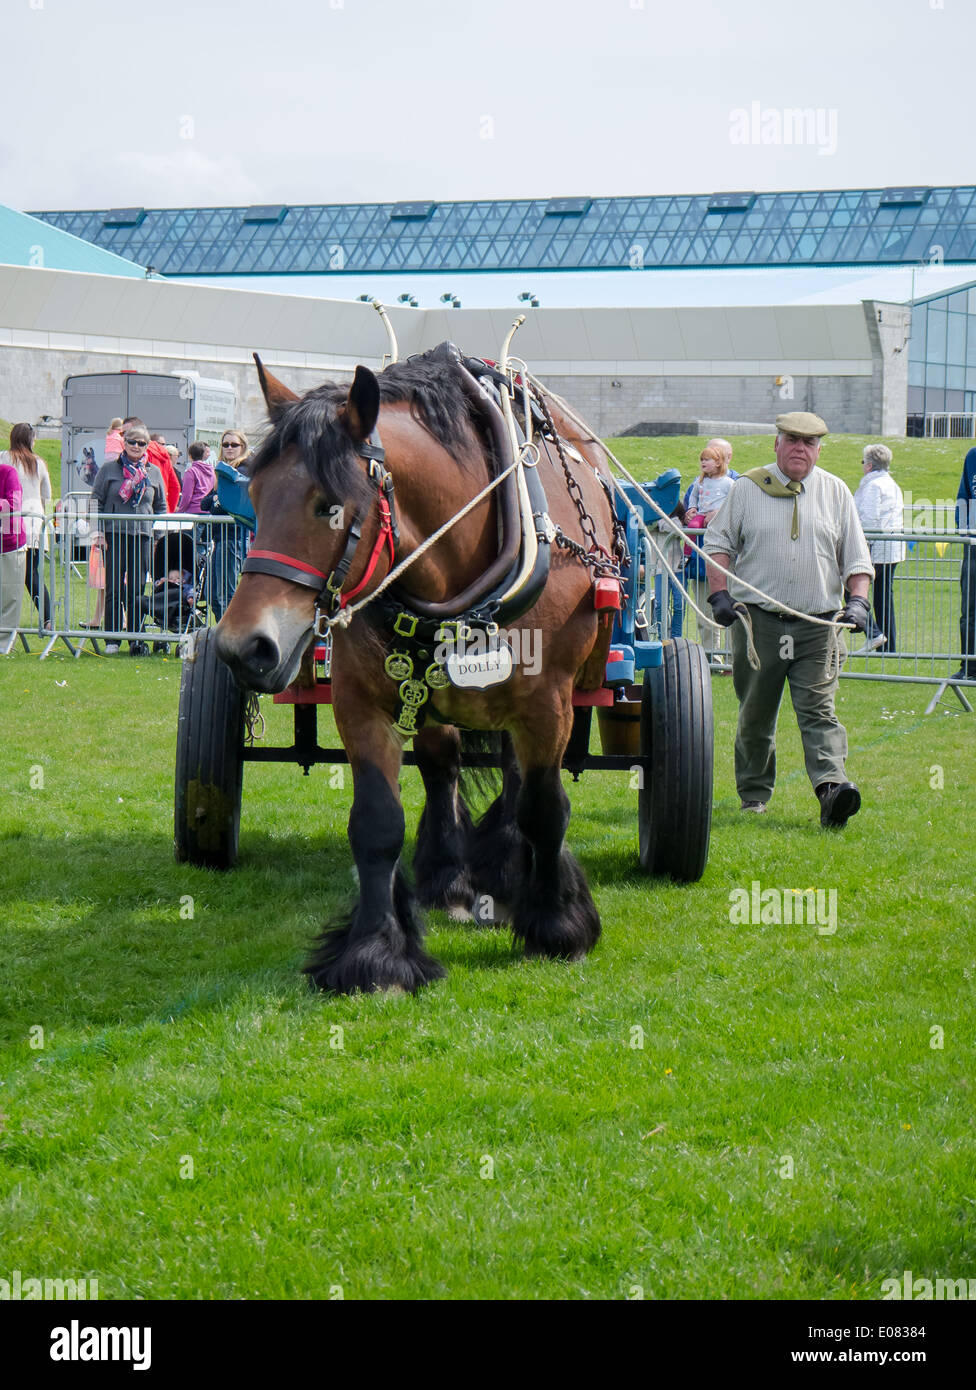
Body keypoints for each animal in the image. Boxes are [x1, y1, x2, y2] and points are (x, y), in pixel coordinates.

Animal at [215, 345, 622, 994]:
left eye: (330, 506)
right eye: (251, 494)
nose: (241, 647)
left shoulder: (547, 702)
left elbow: (544, 808)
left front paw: (559, 927)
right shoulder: (361, 701)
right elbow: (376, 824)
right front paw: (376, 953)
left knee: (517, 781)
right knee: (441, 764)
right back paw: (450, 876)